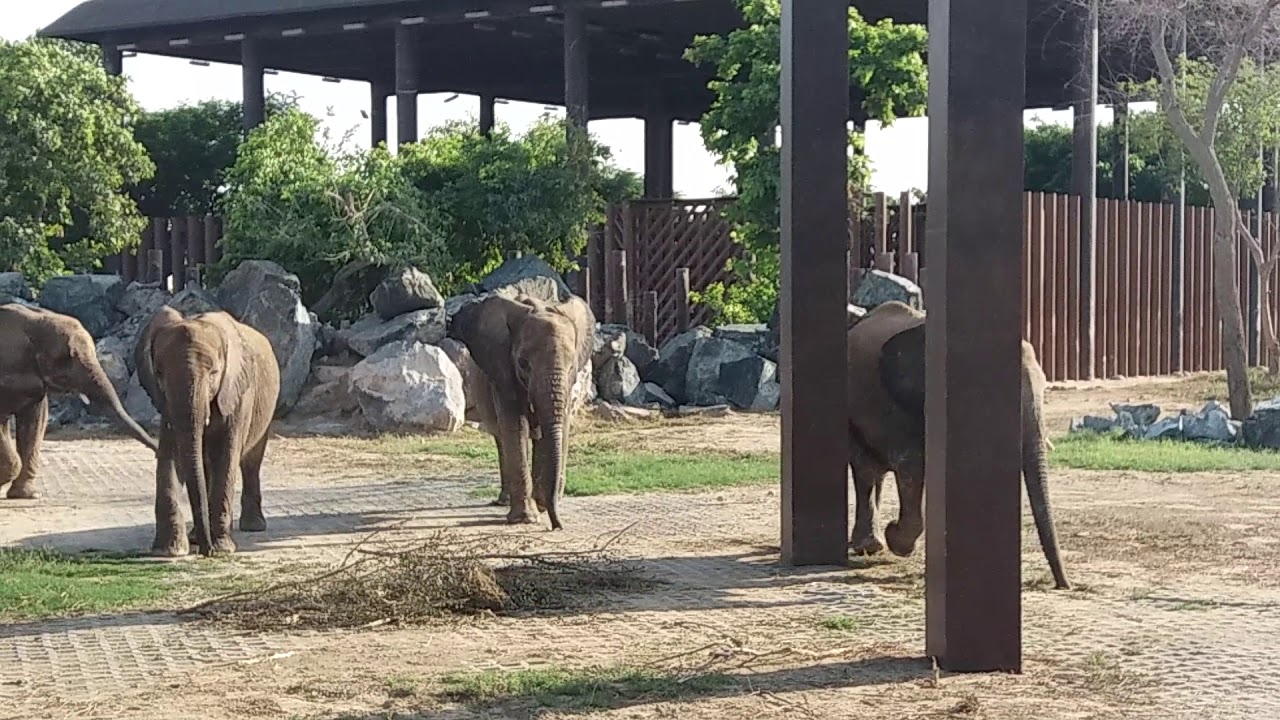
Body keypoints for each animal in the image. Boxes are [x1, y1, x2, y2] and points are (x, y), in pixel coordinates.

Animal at [134, 306, 281, 557]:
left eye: (214, 373)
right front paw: (170, 551)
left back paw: (252, 527)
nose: (207, 550)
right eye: (159, 373)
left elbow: (226, 457)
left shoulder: (238, 394)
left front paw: (222, 549)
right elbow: (171, 456)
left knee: (251, 462)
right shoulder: (166, 404)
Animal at [447, 292, 595, 530]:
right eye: (523, 364)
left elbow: (555, 426)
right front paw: (526, 518)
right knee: (503, 437)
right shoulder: (503, 373)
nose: (557, 526)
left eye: (572, 366)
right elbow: (516, 427)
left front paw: (542, 503)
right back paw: (506, 500)